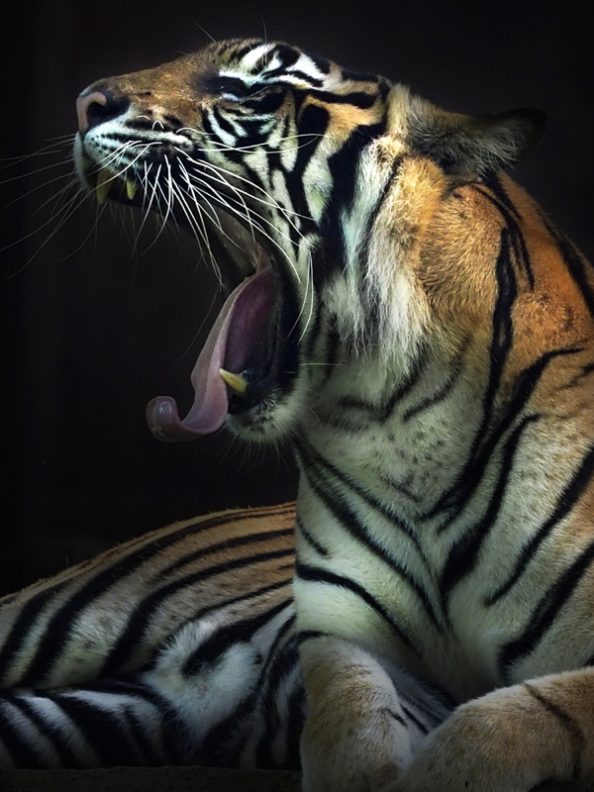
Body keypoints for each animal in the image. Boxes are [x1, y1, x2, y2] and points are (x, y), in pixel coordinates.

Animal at [2, 35, 594, 792]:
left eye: (249, 89)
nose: (84, 104)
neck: (399, 425)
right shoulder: (348, 637)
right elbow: (350, 731)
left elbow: (503, 723)